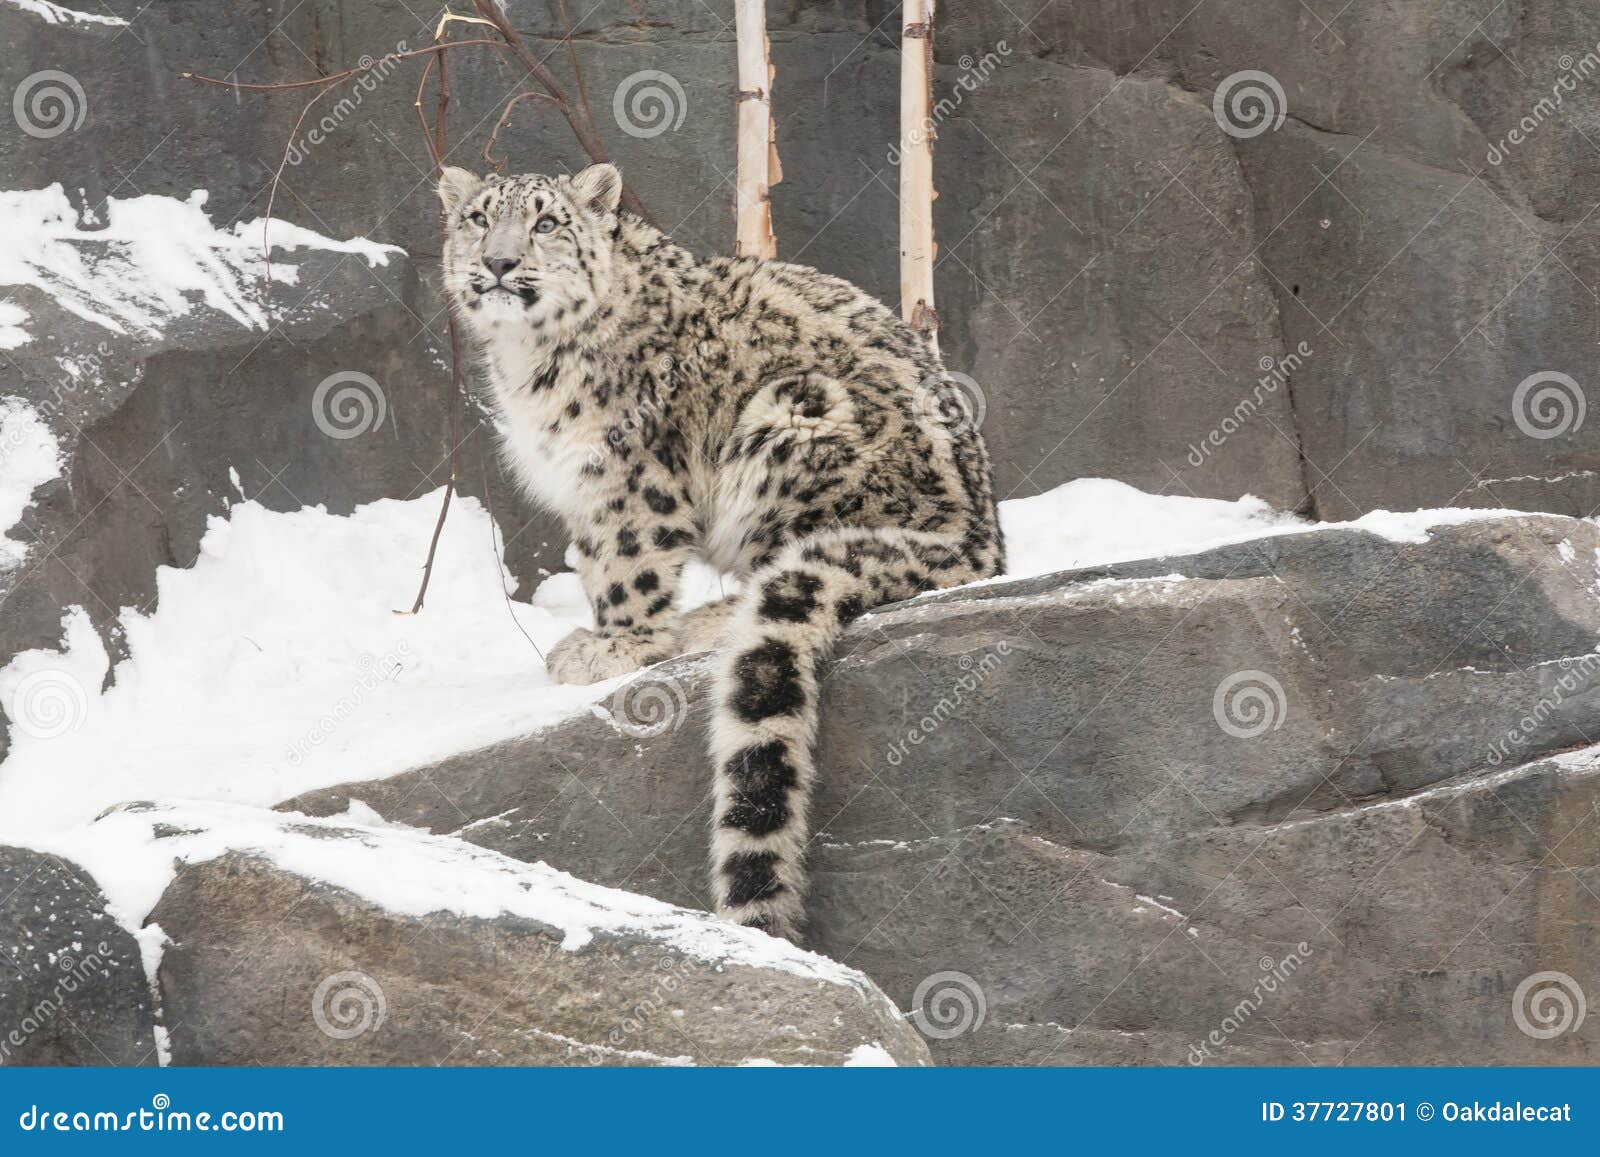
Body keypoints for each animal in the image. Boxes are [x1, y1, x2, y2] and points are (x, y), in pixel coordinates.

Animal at [438, 162, 1004, 941]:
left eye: (546, 222)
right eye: (478, 218)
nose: (497, 262)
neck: (529, 361)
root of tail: (981, 537)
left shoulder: (630, 473)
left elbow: (626, 562)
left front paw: (614, 646)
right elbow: (595, 558)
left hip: (791, 419)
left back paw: (706, 620)